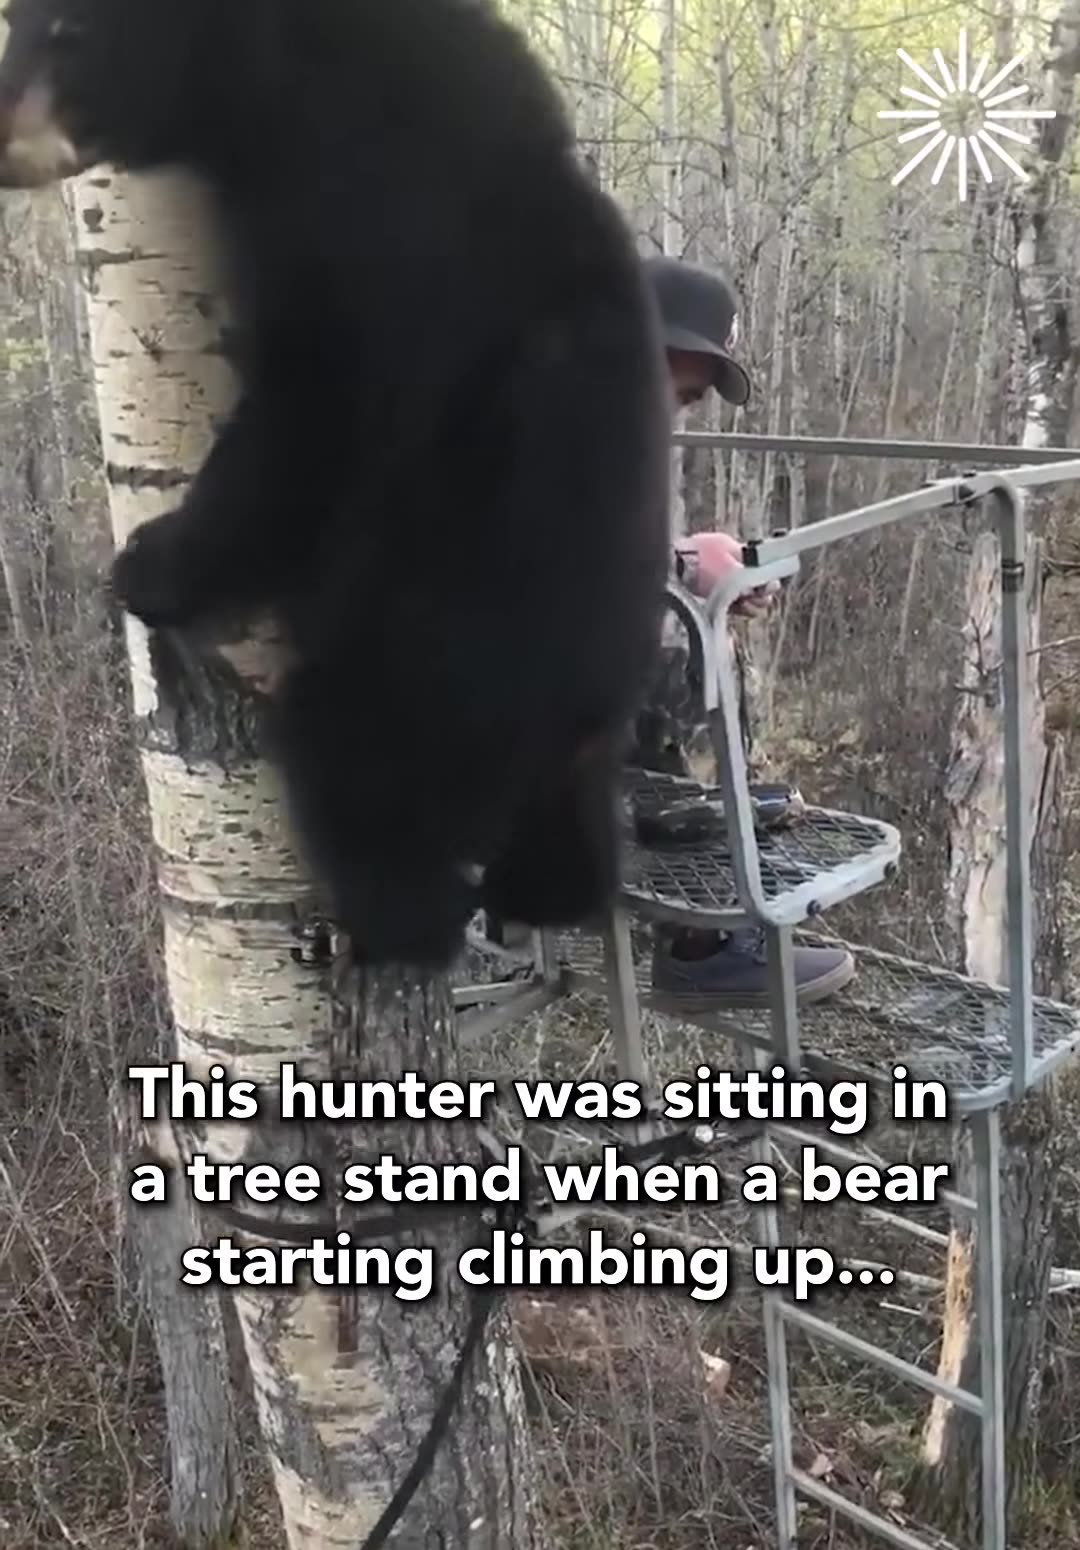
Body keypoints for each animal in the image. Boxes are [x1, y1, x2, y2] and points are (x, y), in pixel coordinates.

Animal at [0, 0, 671, 970]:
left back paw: (393, 922)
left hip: (423, 663)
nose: (2, 136)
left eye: (69, 29)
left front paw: (149, 565)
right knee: (570, 847)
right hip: (573, 749)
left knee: (343, 758)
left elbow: (313, 410)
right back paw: (546, 890)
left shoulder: (366, 212)